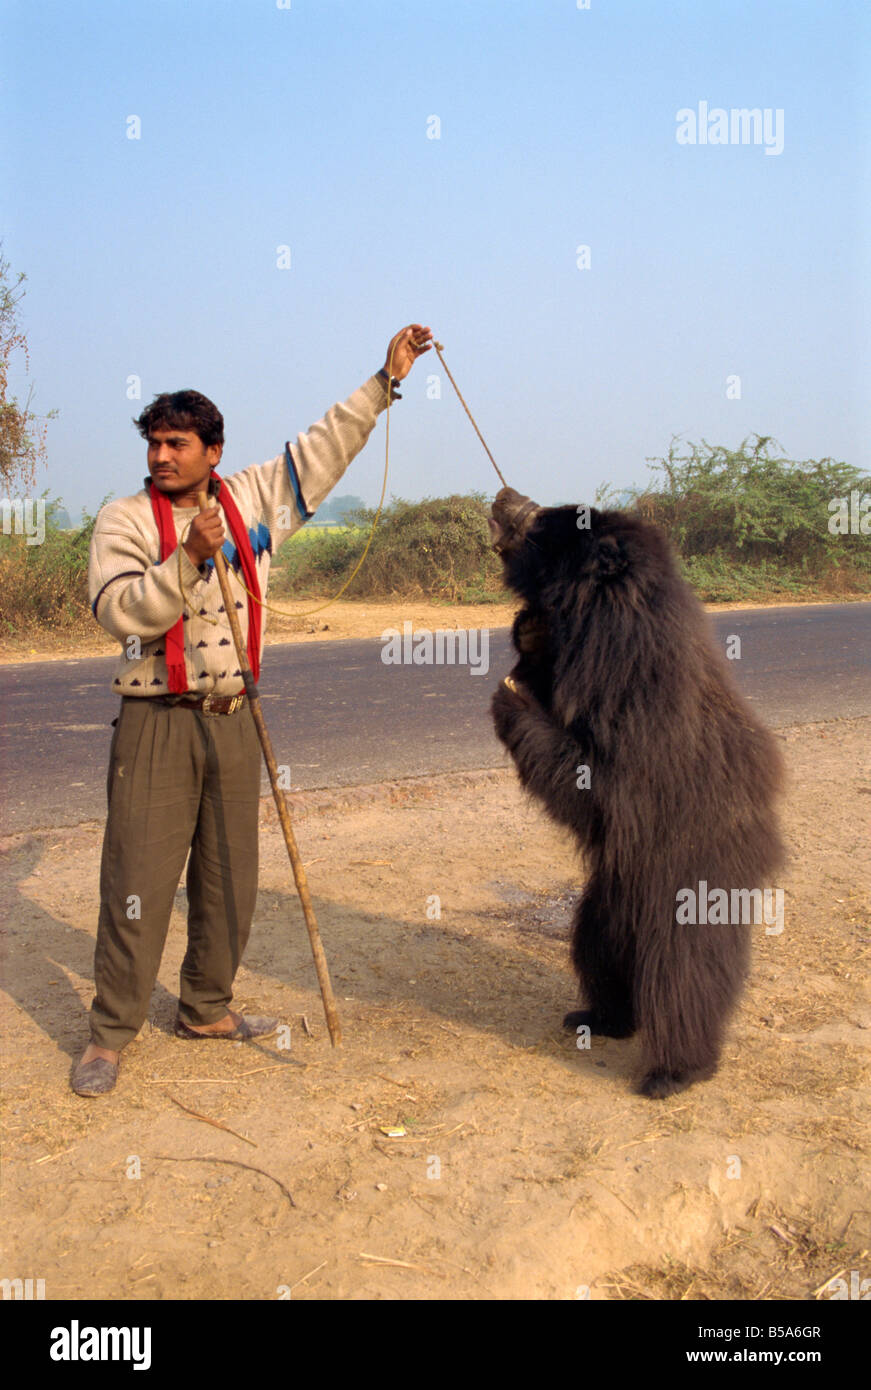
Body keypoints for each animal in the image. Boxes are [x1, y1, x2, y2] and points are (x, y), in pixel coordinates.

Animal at [489, 485, 785, 1099]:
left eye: (543, 521)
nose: (505, 495)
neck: (604, 620)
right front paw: (528, 632)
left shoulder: (637, 706)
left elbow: (594, 787)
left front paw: (510, 695)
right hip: (609, 896)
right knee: (596, 948)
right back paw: (600, 1016)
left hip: (690, 884)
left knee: (683, 977)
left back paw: (673, 1070)